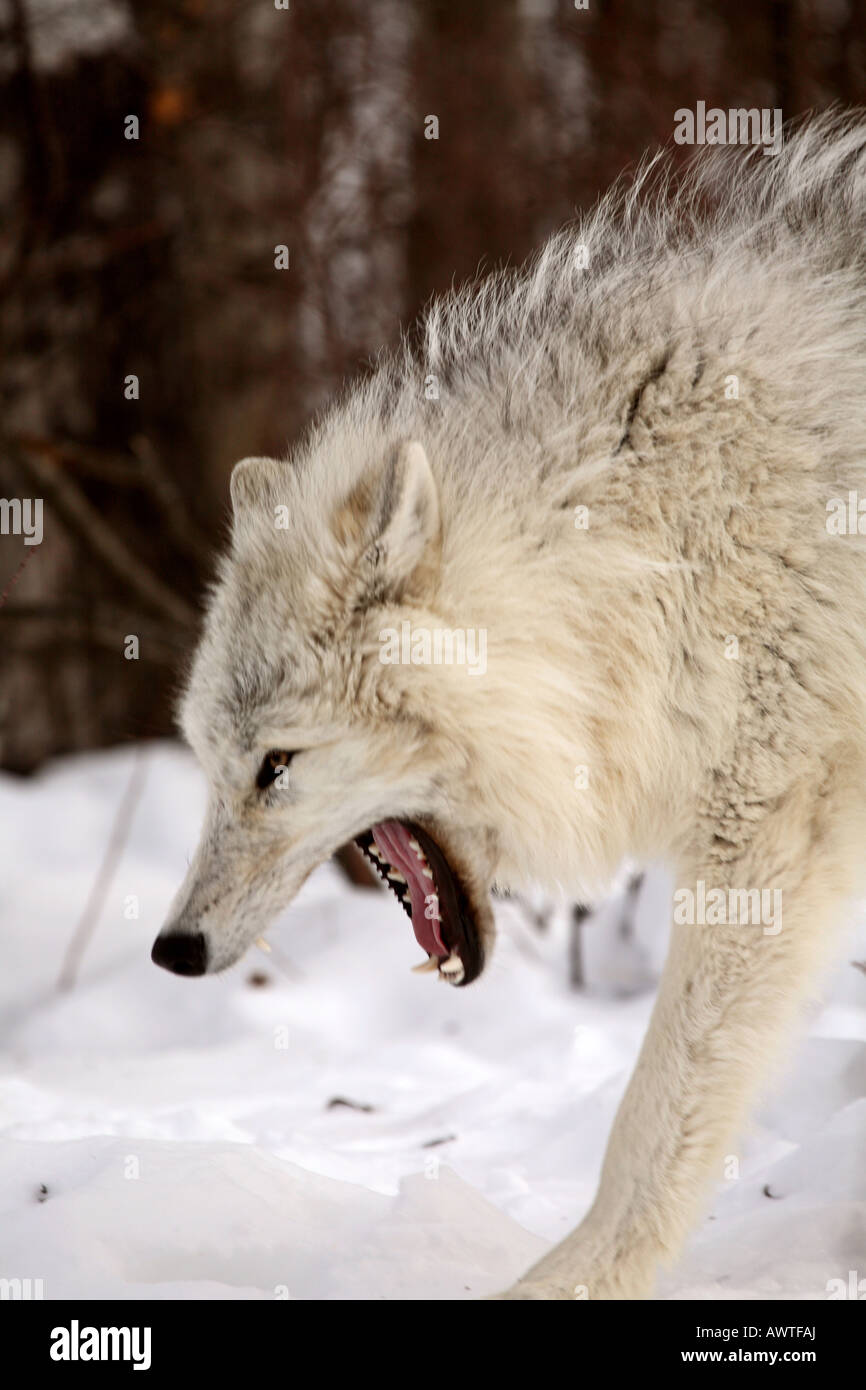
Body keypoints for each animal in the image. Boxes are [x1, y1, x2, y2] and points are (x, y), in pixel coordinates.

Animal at [152, 114, 866, 1299]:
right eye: (212, 767)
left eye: (276, 766)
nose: (171, 951)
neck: (658, 540)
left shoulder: (767, 837)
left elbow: (649, 1119)